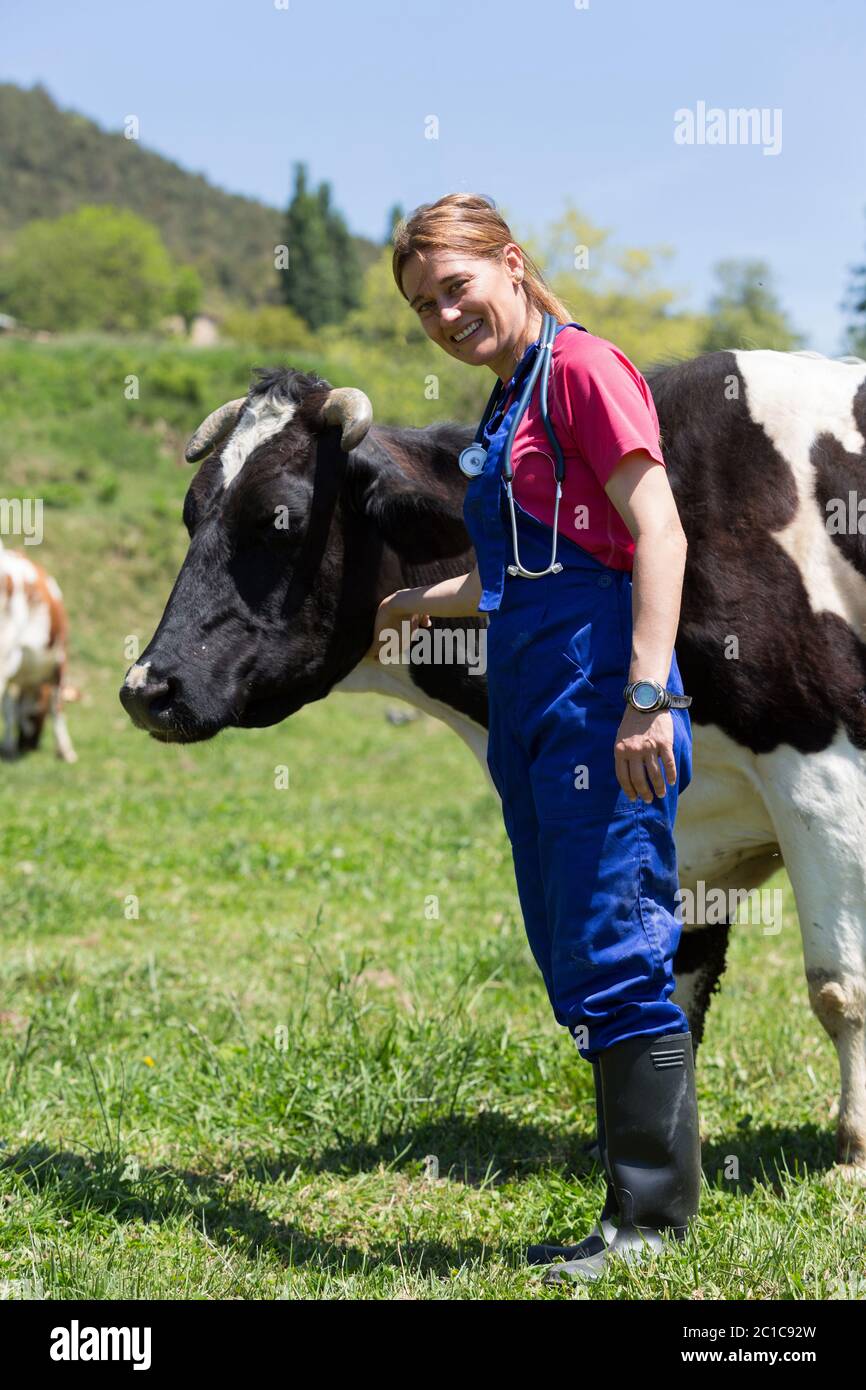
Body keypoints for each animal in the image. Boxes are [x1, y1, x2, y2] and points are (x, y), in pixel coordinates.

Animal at [0, 540, 77, 762]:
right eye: (39, 715)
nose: (29, 745)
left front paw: (8, 747)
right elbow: (57, 706)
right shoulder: (61, 659)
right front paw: (66, 751)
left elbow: (8, 708)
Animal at [119, 349, 866, 1180]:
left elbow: (839, 989)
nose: (147, 688)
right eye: (192, 516)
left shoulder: (823, 776)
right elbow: (674, 986)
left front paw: (851, 1153)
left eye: (279, 521)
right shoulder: (687, 824)